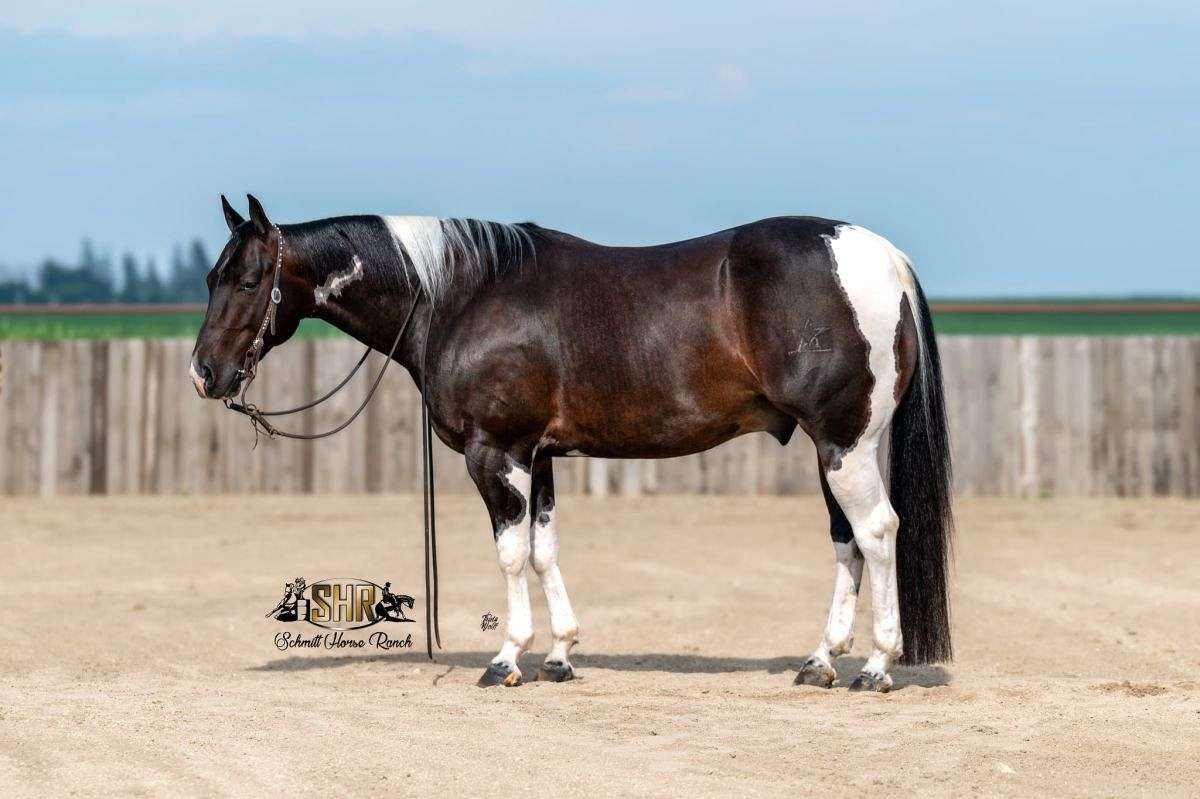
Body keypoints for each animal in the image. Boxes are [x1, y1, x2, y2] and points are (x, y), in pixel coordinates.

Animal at [191, 194, 953, 692]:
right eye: (210, 277)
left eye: (251, 278)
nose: (205, 373)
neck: (460, 293)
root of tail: (881, 256)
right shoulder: (540, 456)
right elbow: (543, 549)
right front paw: (560, 655)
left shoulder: (496, 454)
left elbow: (509, 553)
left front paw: (507, 658)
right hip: (832, 451)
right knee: (847, 542)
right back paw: (821, 661)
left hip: (847, 446)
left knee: (877, 532)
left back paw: (878, 666)